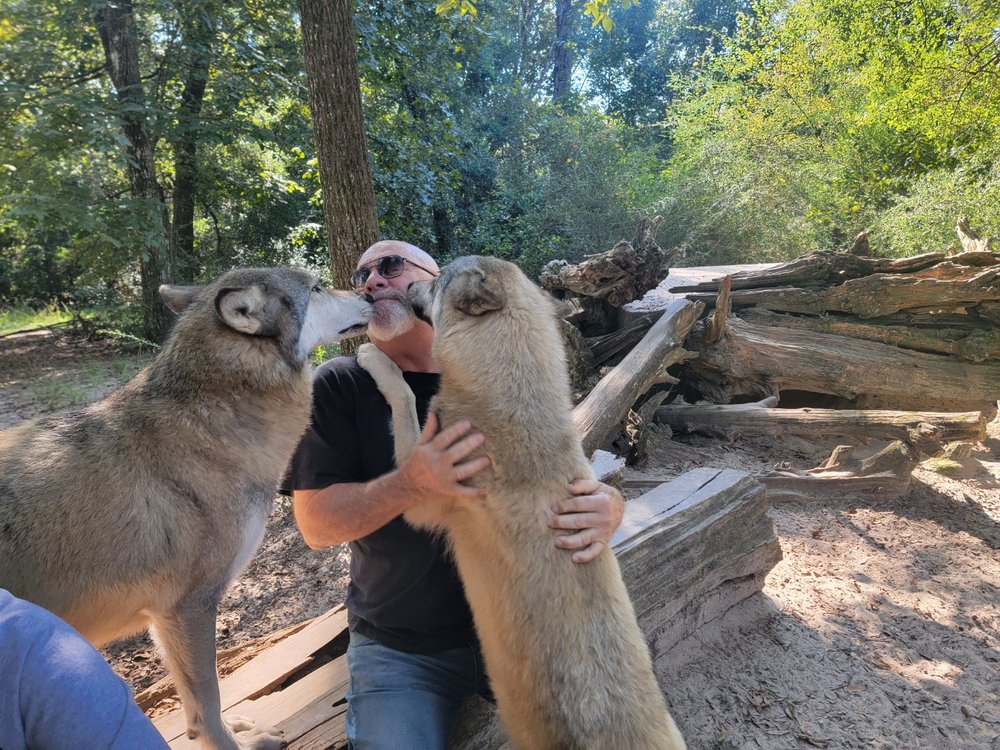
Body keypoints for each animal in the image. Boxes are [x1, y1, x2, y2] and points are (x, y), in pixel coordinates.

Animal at [0, 267, 371, 750]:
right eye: (317, 288)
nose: (368, 293)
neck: (212, 416)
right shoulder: (189, 606)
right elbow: (207, 701)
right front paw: (237, 744)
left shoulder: (165, 619)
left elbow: (200, 700)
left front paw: (240, 728)